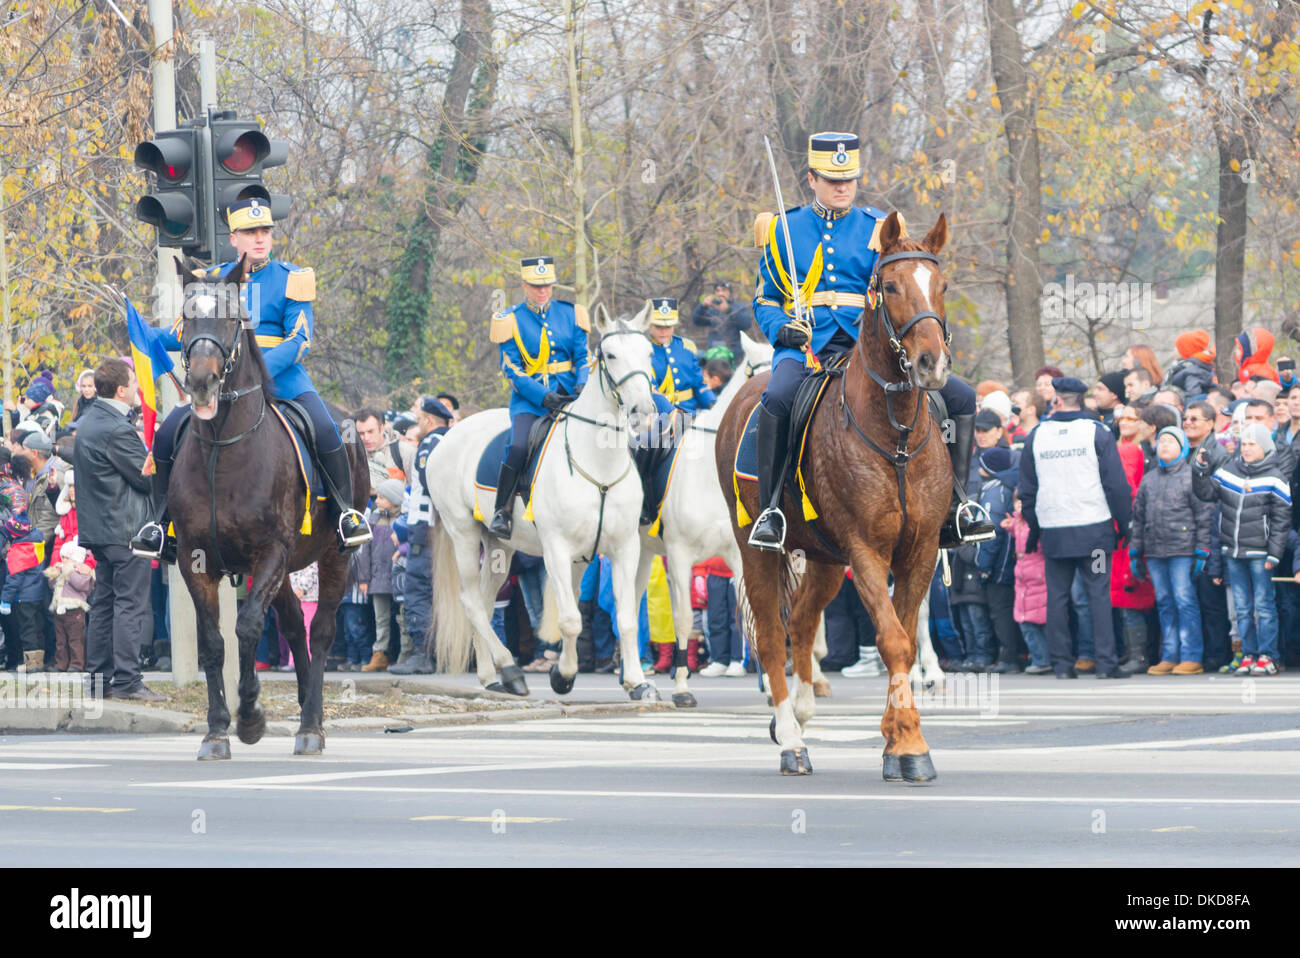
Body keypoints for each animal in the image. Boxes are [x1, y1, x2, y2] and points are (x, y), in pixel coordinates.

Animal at [169, 255, 369, 760]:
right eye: (186, 317)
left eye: (231, 317)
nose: (201, 383)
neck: (223, 449)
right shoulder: (194, 559)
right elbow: (213, 642)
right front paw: (217, 730)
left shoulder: (270, 553)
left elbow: (247, 628)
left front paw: (250, 717)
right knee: (296, 626)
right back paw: (307, 711)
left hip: (333, 557)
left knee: (320, 632)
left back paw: (312, 726)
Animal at [426, 302, 662, 700]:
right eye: (611, 355)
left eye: (648, 353)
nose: (643, 410)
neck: (598, 463)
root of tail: (449, 434)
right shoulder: (556, 549)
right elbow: (569, 620)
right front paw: (563, 676)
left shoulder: (622, 549)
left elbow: (625, 619)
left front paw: (637, 683)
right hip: (464, 535)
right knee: (471, 602)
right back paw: (509, 670)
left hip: (499, 546)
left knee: (485, 603)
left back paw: (492, 676)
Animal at [633, 332, 772, 707]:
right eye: (759, 372)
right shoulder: (680, 556)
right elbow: (682, 620)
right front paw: (682, 687)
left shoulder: (738, 555)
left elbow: (752, 614)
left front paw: (771, 685)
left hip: (641, 552)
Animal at [715, 211, 954, 781]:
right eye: (890, 286)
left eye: (942, 285)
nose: (931, 364)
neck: (896, 435)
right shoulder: (866, 551)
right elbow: (891, 639)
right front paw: (910, 745)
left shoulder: (920, 551)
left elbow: (903, 636)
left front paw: (894, 739)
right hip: (756, 549)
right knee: (772, 634)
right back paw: (791, 739)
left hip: (824, 558)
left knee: (802, 622)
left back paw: (802, 710)